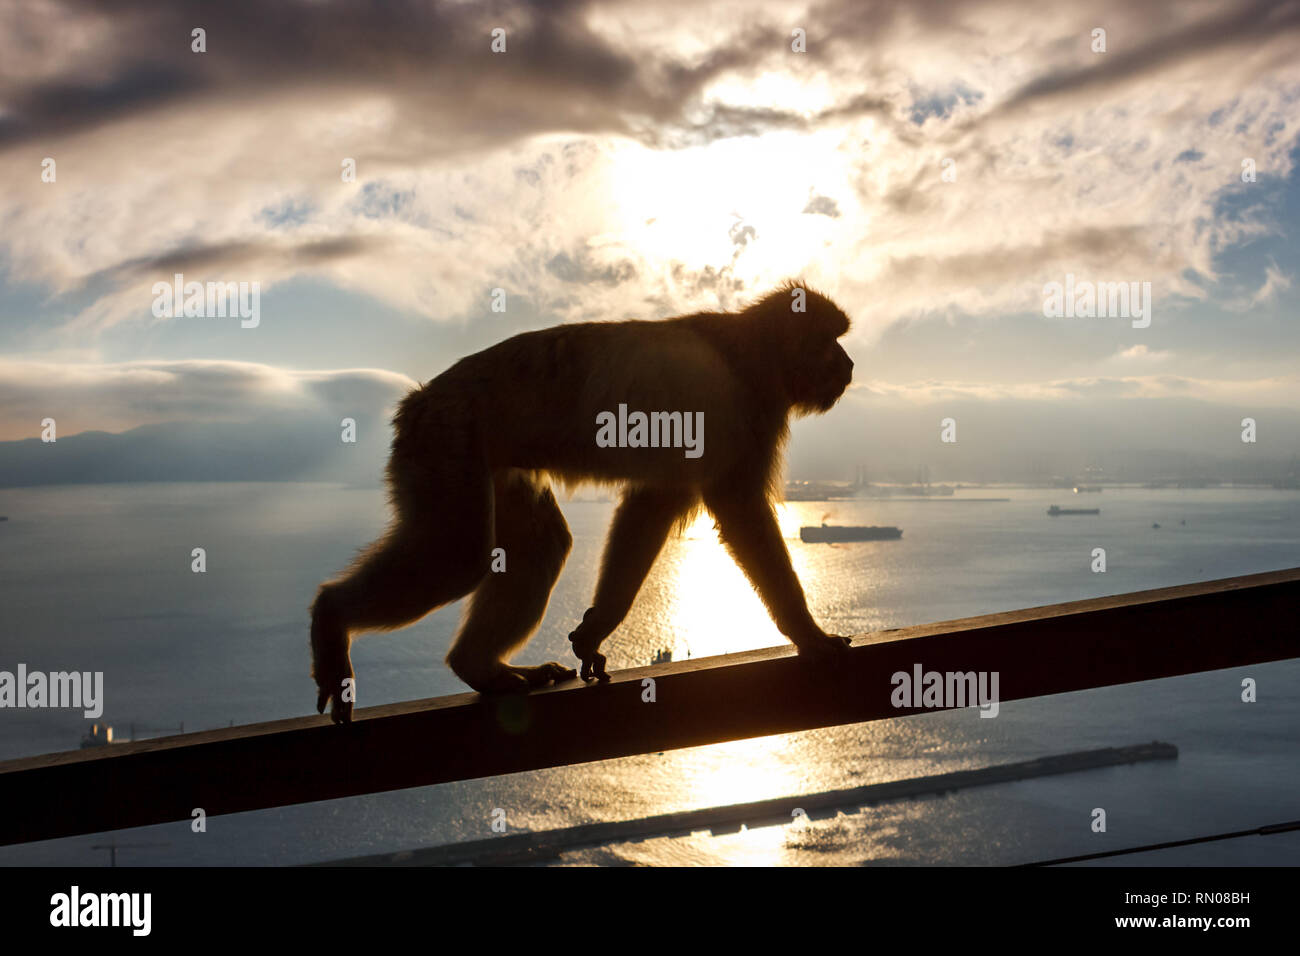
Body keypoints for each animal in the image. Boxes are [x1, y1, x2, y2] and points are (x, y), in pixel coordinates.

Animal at [310, 280, 855, 723]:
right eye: (831, 341)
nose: (849, 364)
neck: (752, 352)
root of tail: (416, 403)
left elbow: (651, 506)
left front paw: (599, 625)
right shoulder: (739, 408)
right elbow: (738, 508)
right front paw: (808, 634)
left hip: (487, 459)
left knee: (540, 544)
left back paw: (480, 668)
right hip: (446, 439)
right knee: (460, 554)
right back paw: (332, 616)